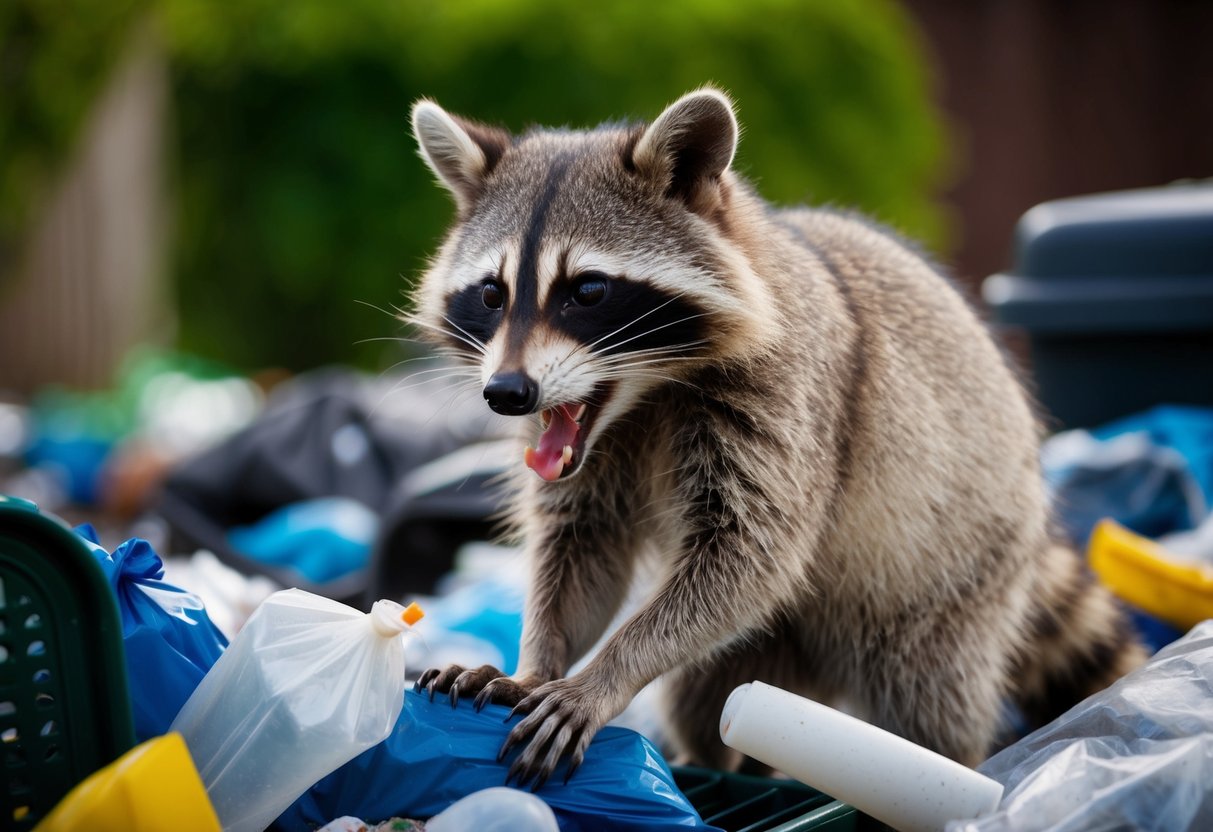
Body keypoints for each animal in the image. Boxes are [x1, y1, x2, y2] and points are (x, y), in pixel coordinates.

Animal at [407, 88, 1146, 787]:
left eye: (587, 290)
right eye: (492, 294)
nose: (506, 394)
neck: (644, 394)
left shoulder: (786, 399)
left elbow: (747, 557)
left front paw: (607, 672)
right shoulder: (585, 452)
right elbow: (583, 549)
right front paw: (539, 662)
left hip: (954, 585)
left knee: (927, 700)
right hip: (771, 652)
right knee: (706, 700)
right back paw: (711, 757)